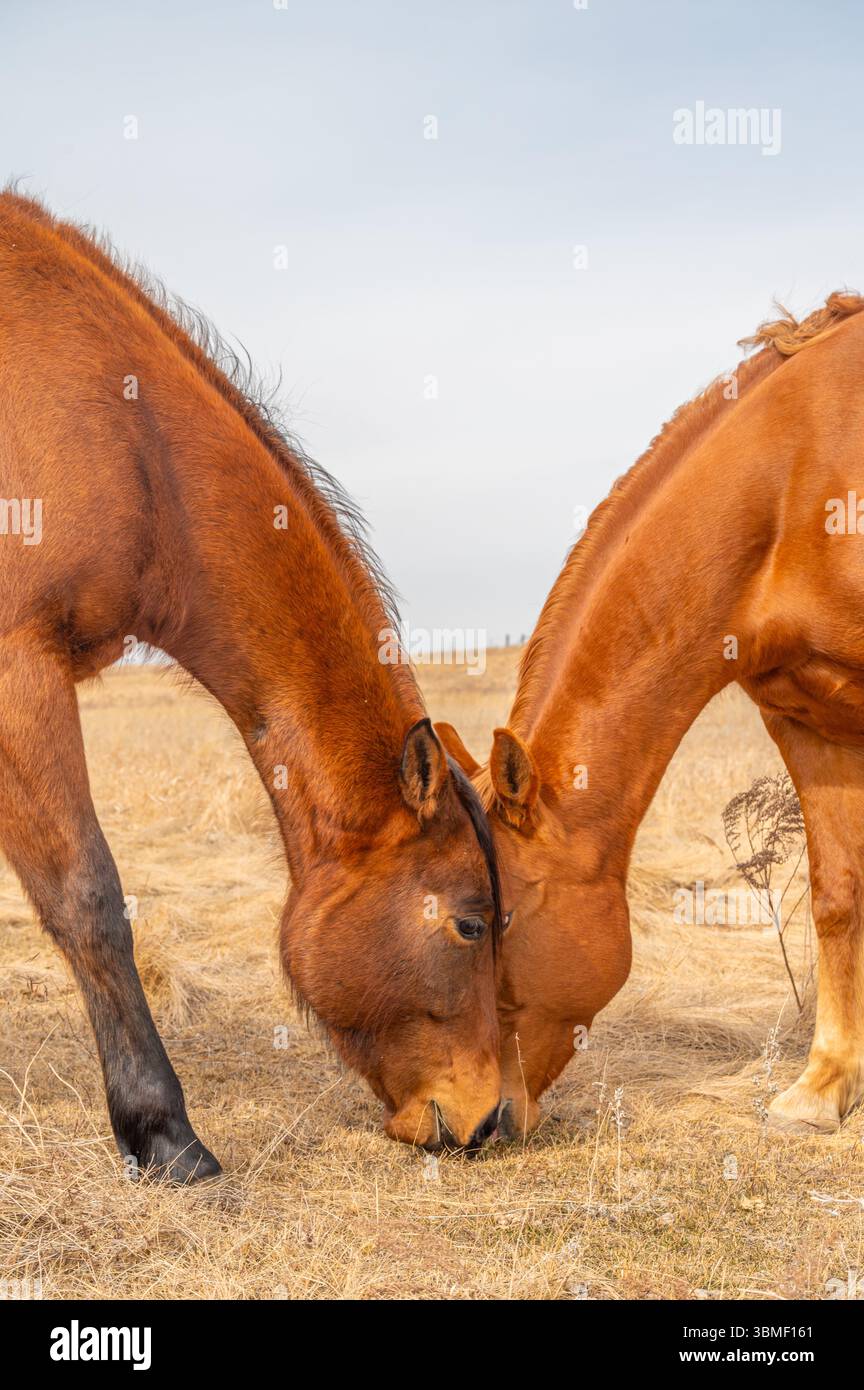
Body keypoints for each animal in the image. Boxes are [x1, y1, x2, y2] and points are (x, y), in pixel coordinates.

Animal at [0, 191, 505, 1180]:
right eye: (469, 924)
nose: (491, 1120)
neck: (130, 437)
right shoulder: (19, 668)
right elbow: (88, 897)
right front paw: (164, 1132)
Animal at [438, 292, 864, 1138]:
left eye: (498, 921)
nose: (481, 1123)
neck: (802, 478)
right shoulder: (810, 723)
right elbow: (838, 895)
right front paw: (824, 1086)